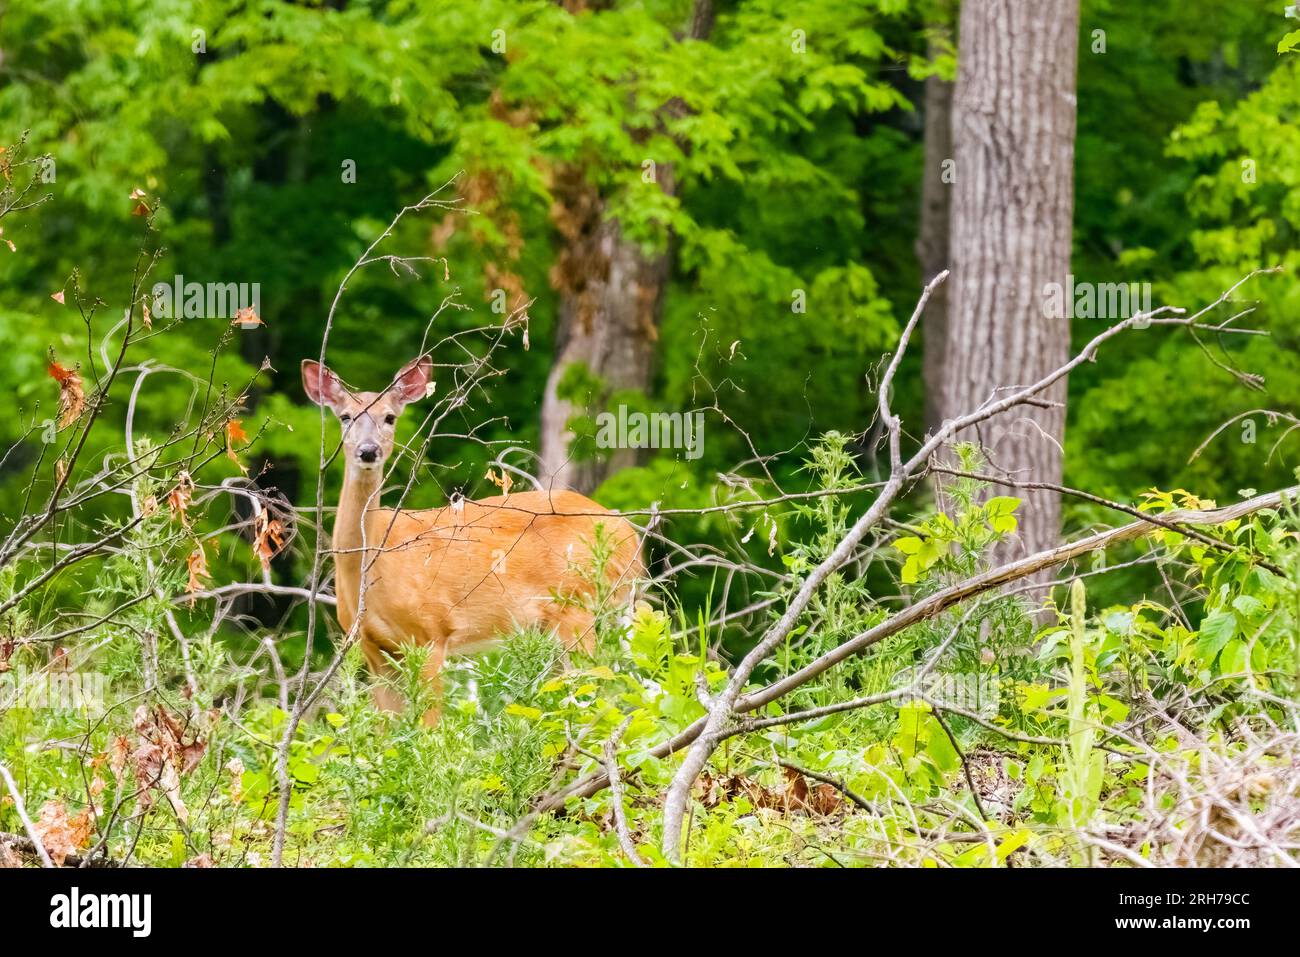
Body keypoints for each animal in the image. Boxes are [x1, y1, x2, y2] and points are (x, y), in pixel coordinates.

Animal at [301, 355, 643, 724]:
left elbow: (430, 727)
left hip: (577, 605)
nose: (368, 451)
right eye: (345, 416)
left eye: (389, 417)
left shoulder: (431, 633)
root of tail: (630, 538)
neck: (373, 565)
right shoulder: (373, 648)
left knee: (601, 690)